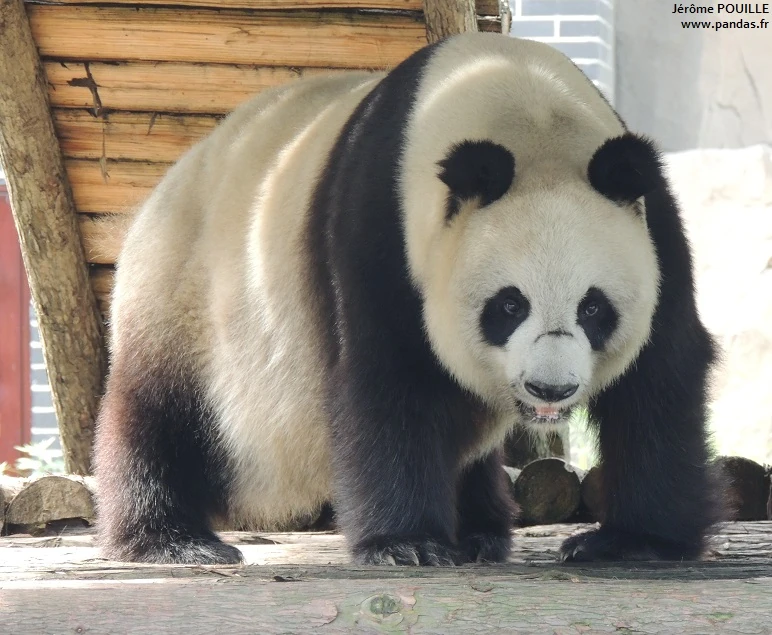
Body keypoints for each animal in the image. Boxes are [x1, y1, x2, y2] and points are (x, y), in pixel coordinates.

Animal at [94, 31, 723, 566]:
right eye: (509, 306)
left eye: (593, 307)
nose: (551, 389)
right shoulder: (379, 231)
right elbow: (389, 381)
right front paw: (408, 545)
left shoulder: (655, 229)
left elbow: (659, 376)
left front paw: (632, 542)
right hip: (183, 290)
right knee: (157, 412)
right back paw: (170, 542)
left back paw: (479, 532)